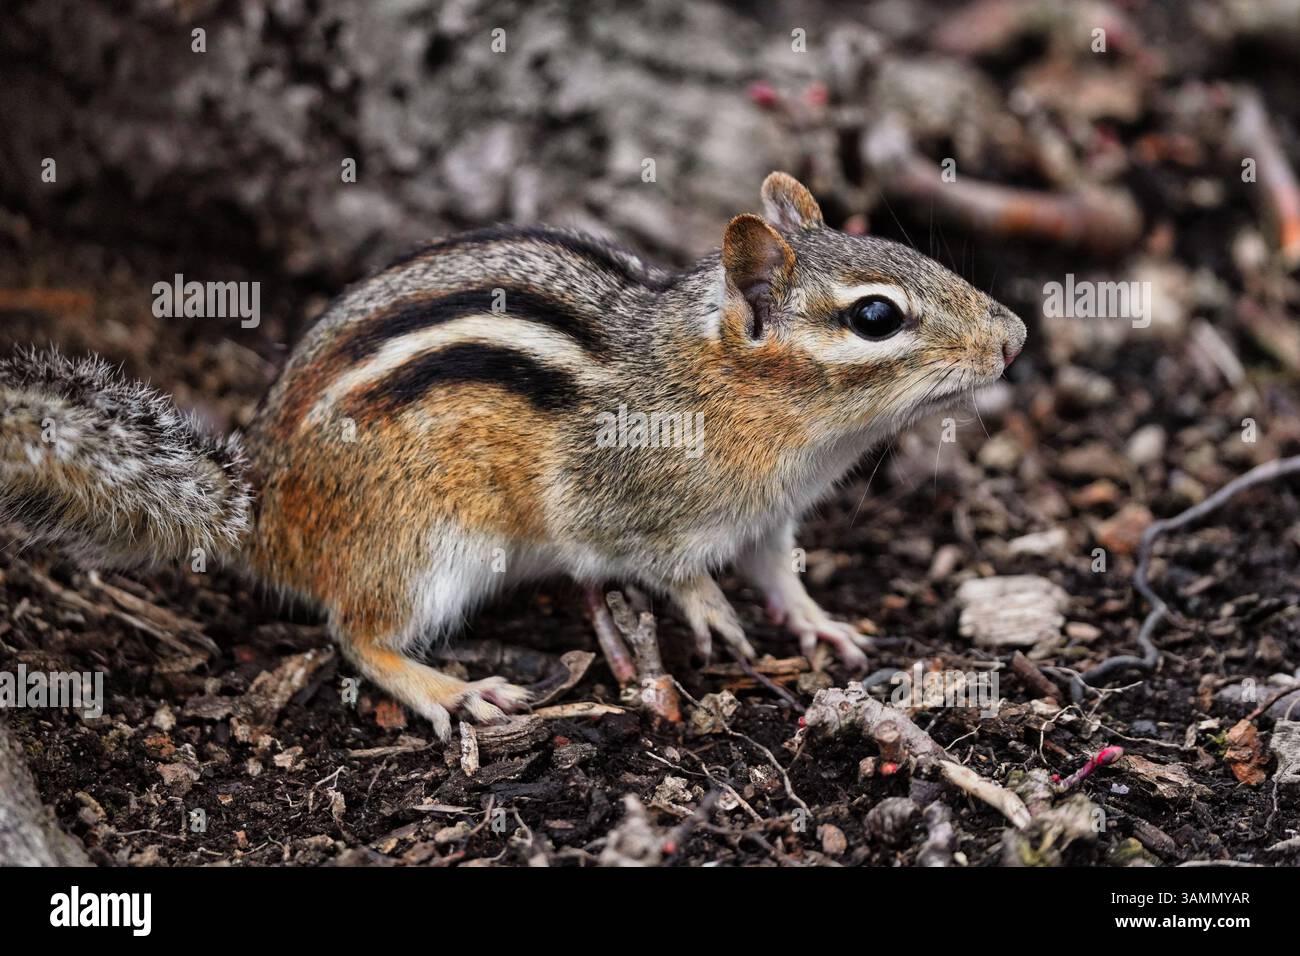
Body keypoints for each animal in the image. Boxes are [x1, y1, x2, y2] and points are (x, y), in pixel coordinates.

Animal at [0, 173, 1025, 740]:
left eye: (890, 242)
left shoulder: (770, 522)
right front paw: (713, 613)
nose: (1015, 337)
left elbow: (780, 573)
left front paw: (819, 622)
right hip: (426, 544)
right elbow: (668, 568)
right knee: (357, 634)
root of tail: (259, 504)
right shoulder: (628, 503)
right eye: (876, 316)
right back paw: (452, 692)